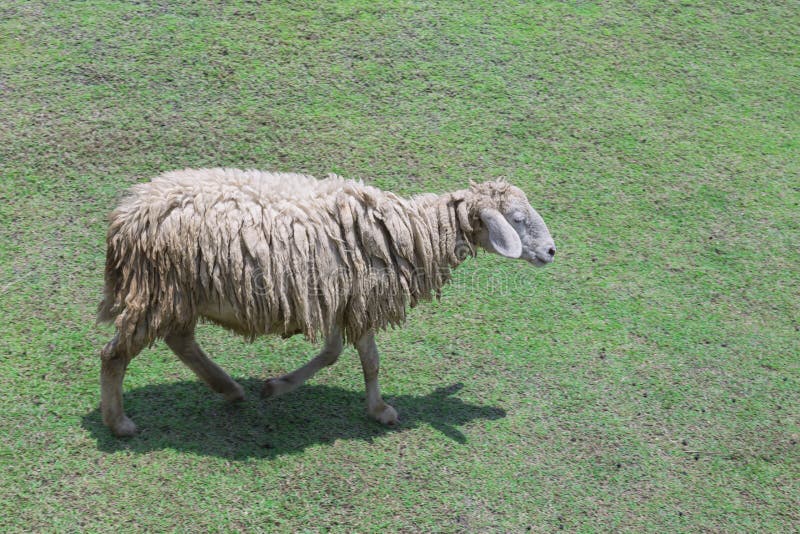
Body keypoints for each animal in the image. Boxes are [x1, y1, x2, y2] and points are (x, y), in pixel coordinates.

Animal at [97, 168, 556, 436]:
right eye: (517, 218)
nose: (552, 251)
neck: (412, 231)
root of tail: (126, 217)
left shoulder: (339, 297)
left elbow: (333, 353)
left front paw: (277, 386)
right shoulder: (361, 300)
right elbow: (370, 360)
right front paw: (381, 411)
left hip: (176, 294)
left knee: (180, 341)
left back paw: (228, 388)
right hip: (159, 290)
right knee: (115, 355)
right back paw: (119, 423)